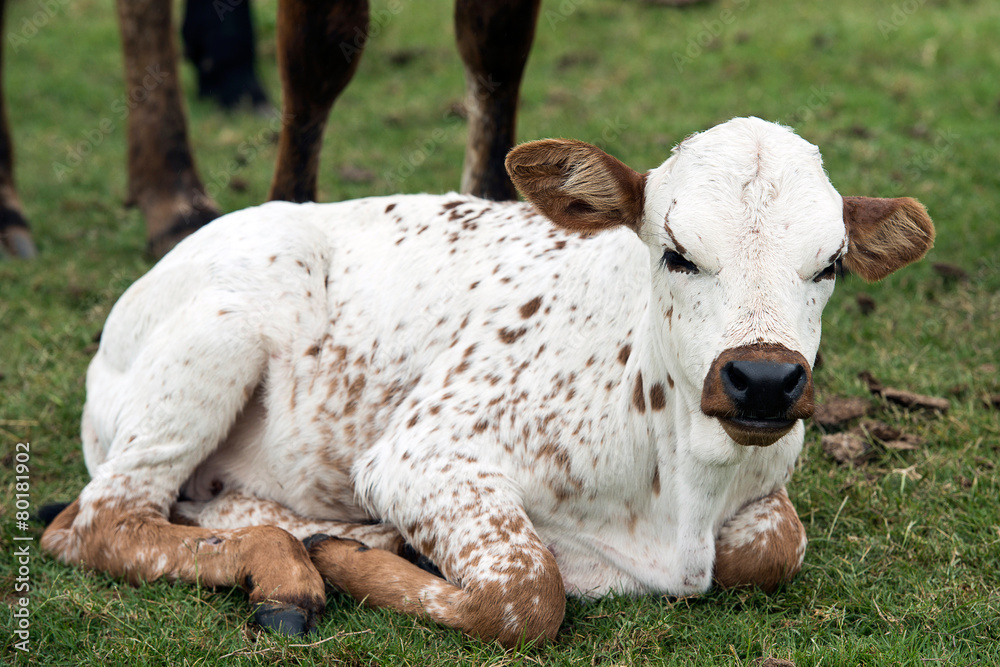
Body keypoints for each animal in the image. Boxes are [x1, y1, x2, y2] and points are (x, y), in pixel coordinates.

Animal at [41, 118, 935, 647]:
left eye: (831, 263)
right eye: (677, 252)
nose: (764, 379)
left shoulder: (765, 481)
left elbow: (778, 546)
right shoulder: (419, 453)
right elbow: (528, 596)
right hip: (216, 340)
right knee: (98, 522)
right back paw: (297, 570)